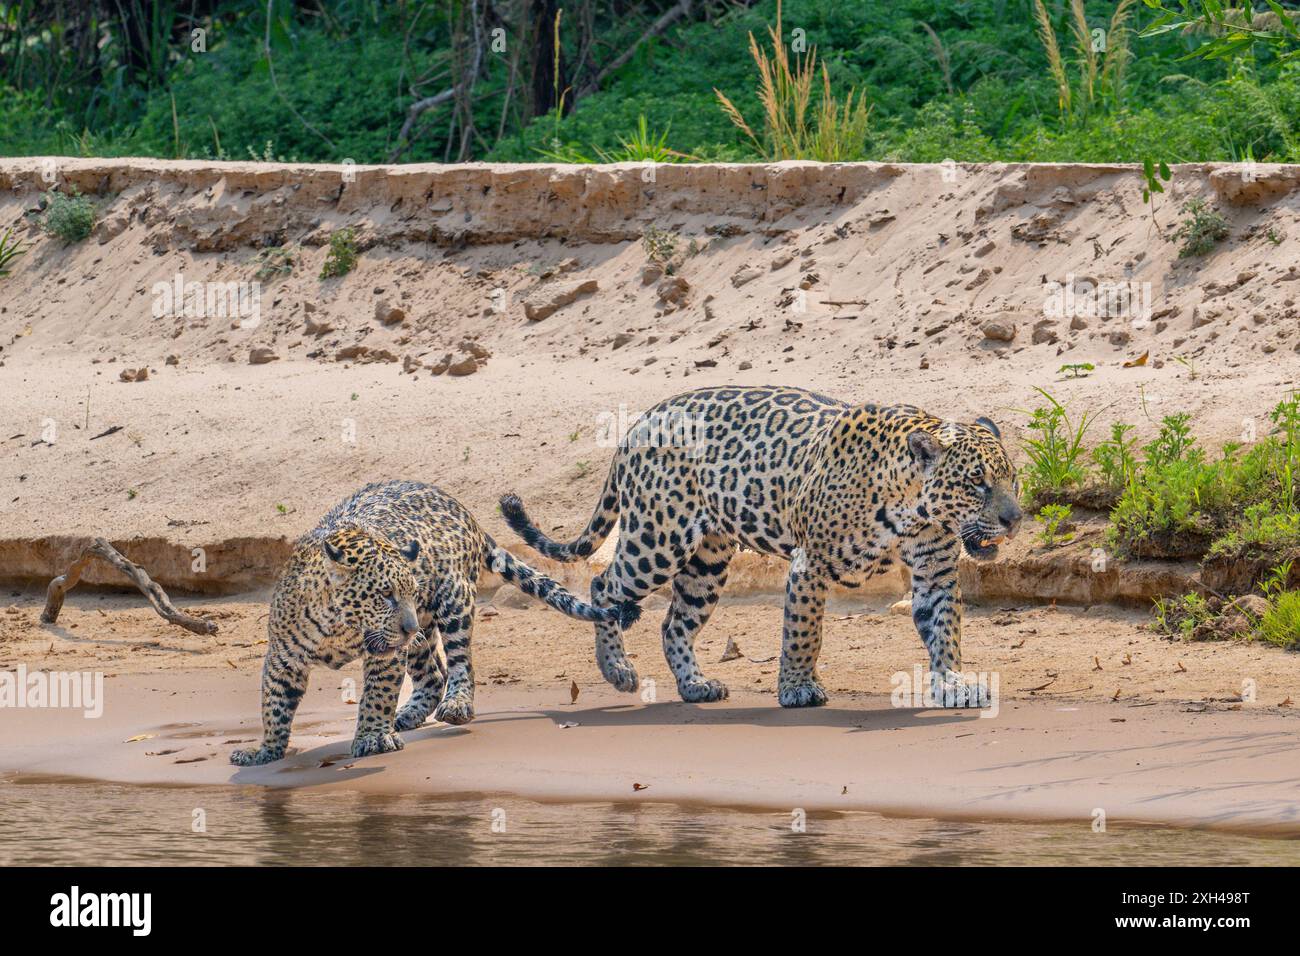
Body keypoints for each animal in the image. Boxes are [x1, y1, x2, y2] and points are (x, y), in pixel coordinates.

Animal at [230, 480, 639, 766]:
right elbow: (274, 705)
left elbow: (377, 694)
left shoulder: (385, 653)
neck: (339, 625)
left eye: (409, 591)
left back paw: (455, 706)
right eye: (385, 595)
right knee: (432, 674)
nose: (407, 627)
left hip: (453, 601)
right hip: (423, 632)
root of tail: (463, 510)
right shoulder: (283, 657)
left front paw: (372, 738)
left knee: (459, 665)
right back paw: (407, 715)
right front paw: (264, 751)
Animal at [500, 385, 1021, 710]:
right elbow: (803, 634)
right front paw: (797, 689)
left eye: (1011, 479)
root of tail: (640, 422)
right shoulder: (810, 564)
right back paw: (617, 670)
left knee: (674, 622)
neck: (912, 506)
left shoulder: (935, 571)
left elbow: (945, 630)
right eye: (976, 483)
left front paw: (952, 686)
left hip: (707, 559)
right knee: (604, 584)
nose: (1014, 518)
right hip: (657, 539)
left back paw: (695, 685)